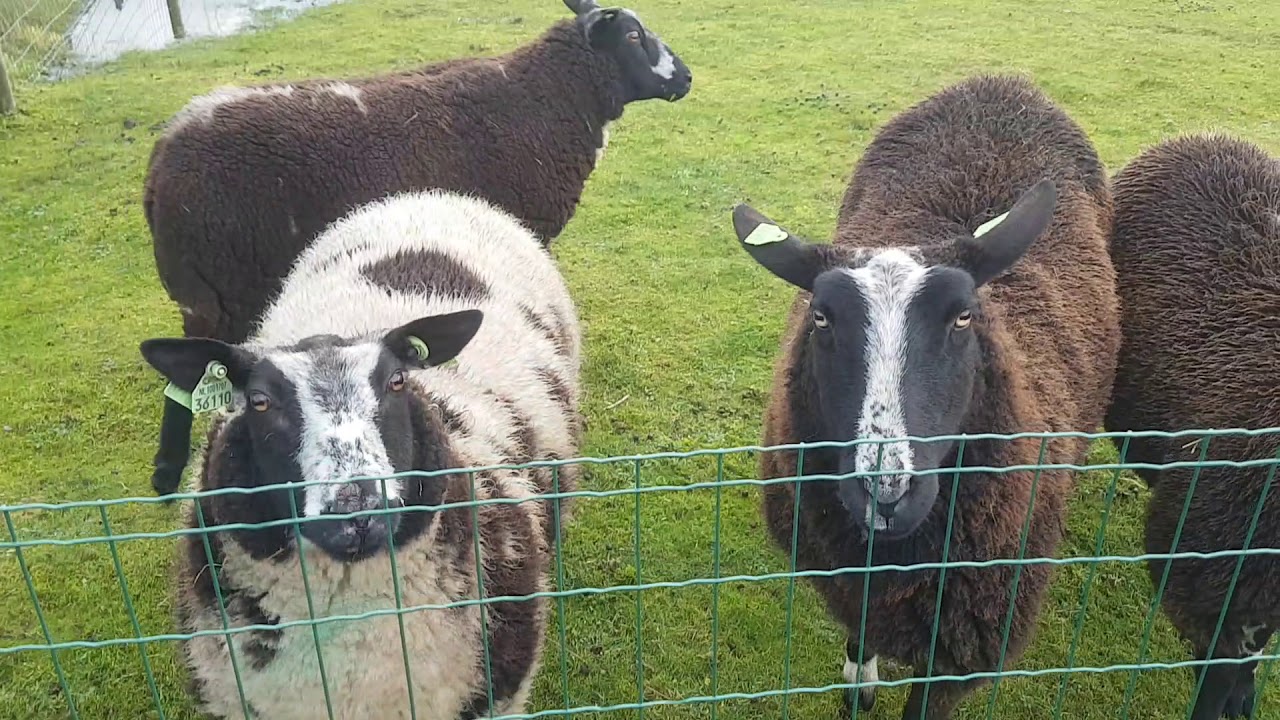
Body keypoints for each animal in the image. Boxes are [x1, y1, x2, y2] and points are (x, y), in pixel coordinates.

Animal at [143, 0, 690, 497]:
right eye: (634, 36)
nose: (684, 78)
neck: (550, 99)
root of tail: (161, 163)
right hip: (217, 290)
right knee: (187, 384)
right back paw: (167, 474)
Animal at [729, 74, 1120, 719]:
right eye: (820, 318)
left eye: (964, 316)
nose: (886, 493)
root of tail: (1000, 82)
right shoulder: (852, 581)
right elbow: (860, 633)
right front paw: (859, 682)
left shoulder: (962, 647)